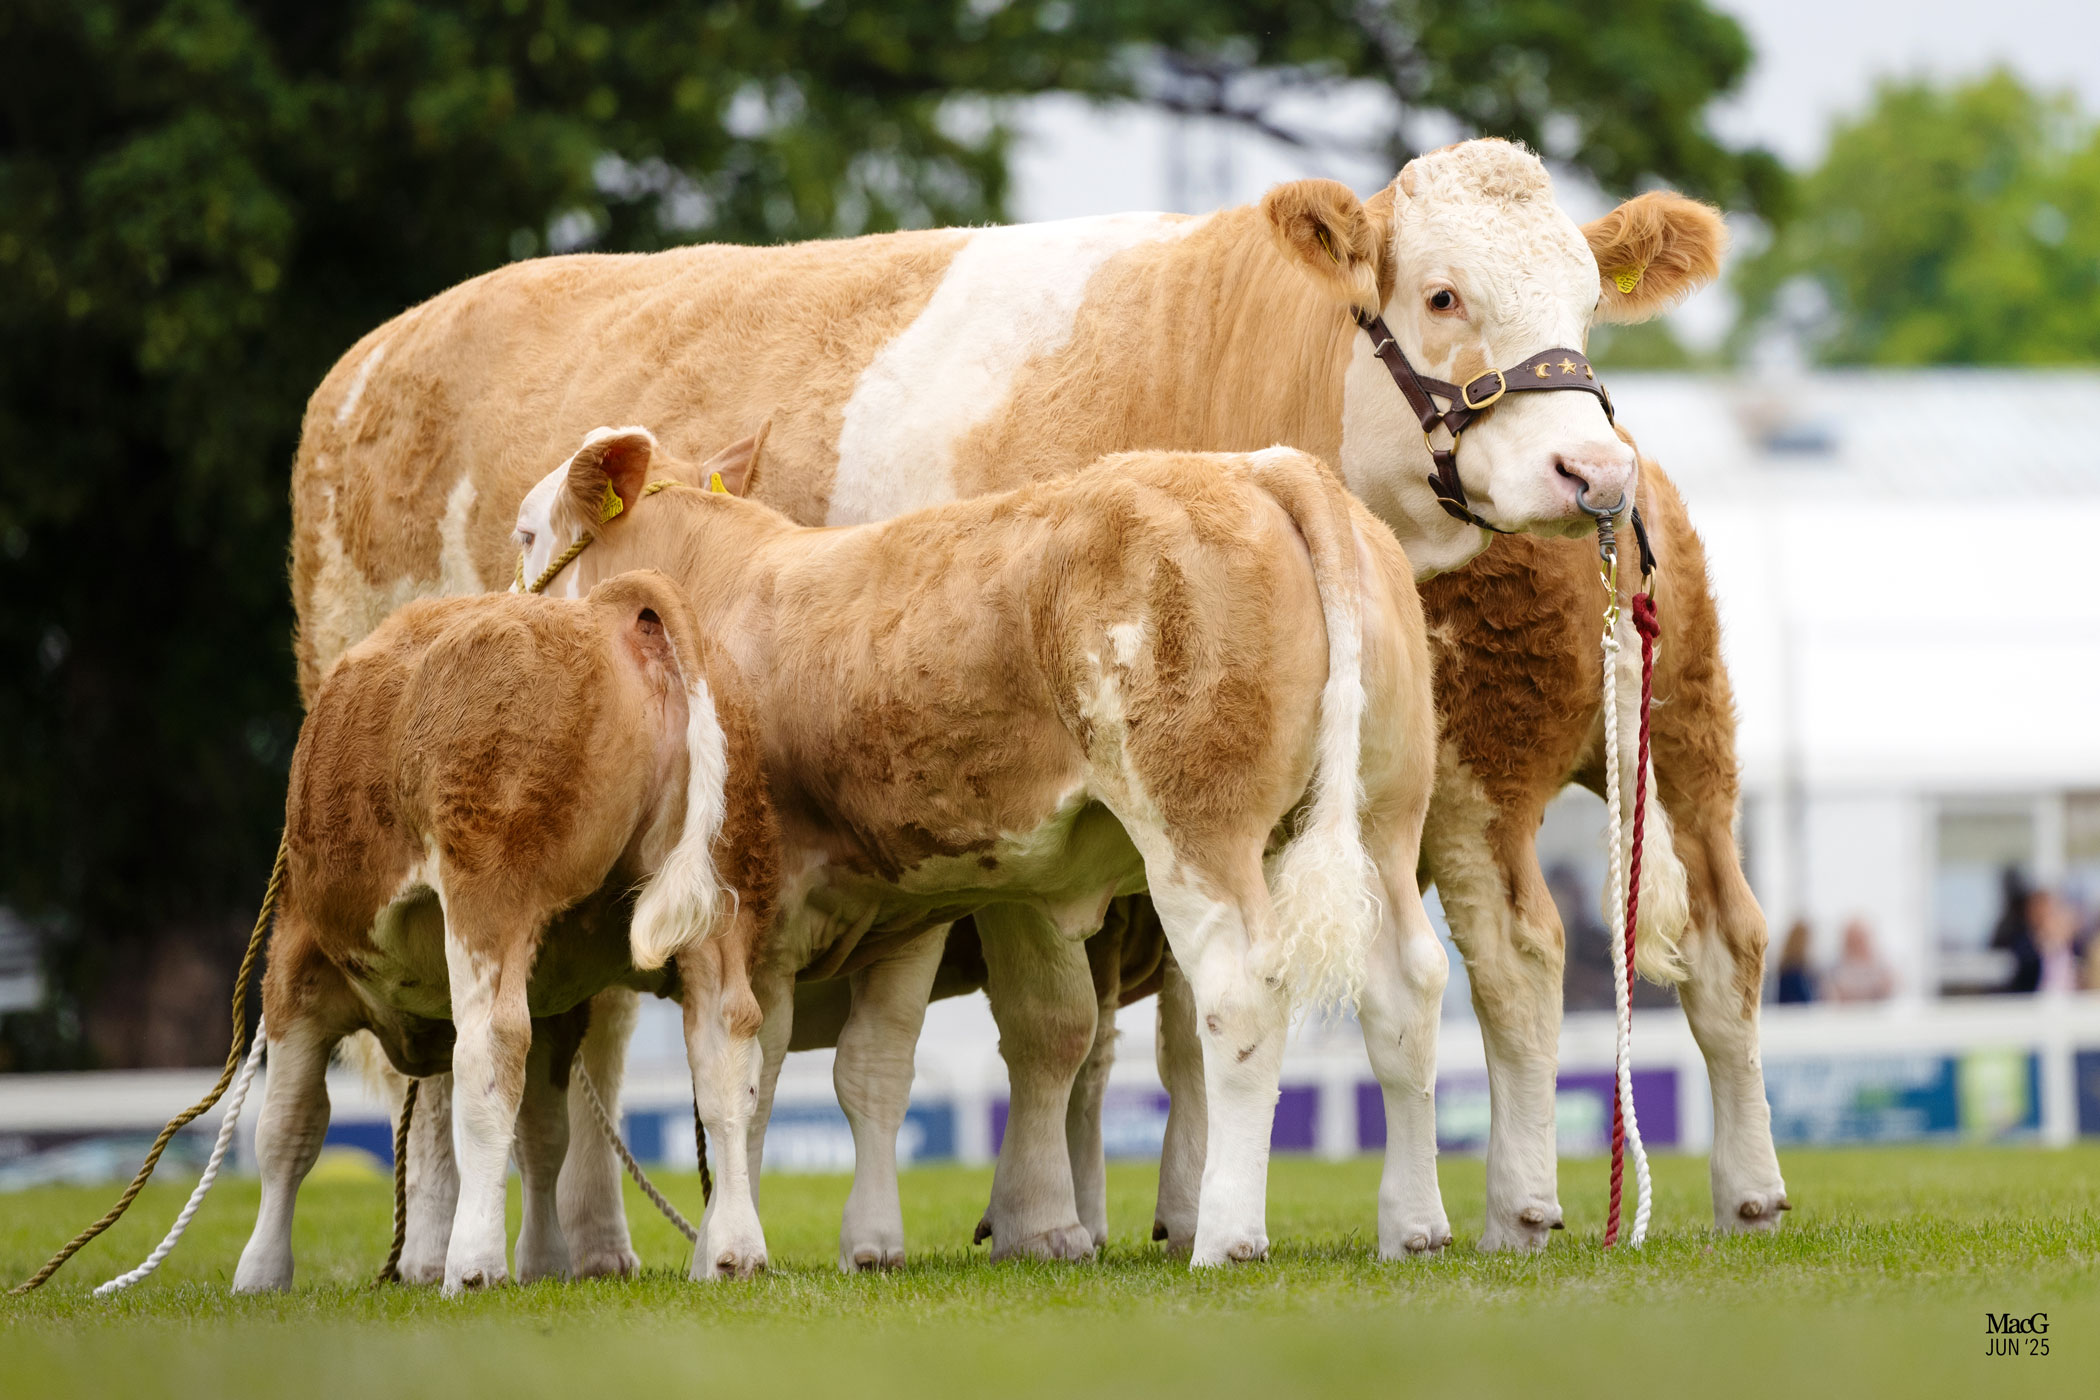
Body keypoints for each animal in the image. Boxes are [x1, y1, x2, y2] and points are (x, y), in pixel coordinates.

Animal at [231, 573, 779, 1294]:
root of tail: (611, 613)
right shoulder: (555, 1003)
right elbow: (544, 1137)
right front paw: (545, 1260)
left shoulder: (297, 964)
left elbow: (285, 1129)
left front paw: (260, 1270)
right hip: (722, 903)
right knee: (726, 1060)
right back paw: (734, 1251)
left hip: (488, 894)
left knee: (488, 1050)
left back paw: (472, 1262)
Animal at [513, 432, 1441, 1267]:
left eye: (524, 533)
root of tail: (1257, 466)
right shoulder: (883, 906)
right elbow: (828, 1069)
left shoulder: (741, 903)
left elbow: (741, 1073)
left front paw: (725, 1246)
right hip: (1385, 817)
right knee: (1408, 987)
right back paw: (1414, 1225)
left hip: (1198, 824)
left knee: (1242, 996)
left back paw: (1228, 1235)